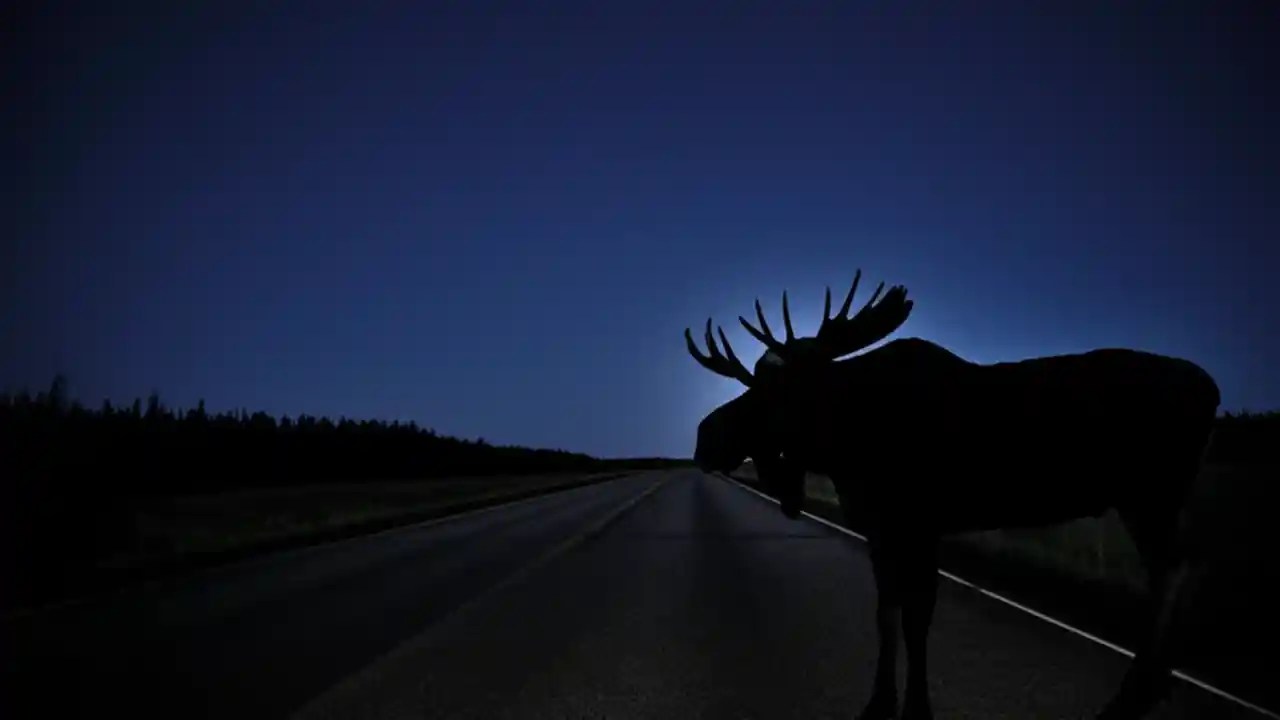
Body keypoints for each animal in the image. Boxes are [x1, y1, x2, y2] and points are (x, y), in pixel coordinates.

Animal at [684, 270, 1220, 720]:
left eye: (775, 391)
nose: (704, 437)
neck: (849, 438)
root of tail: (1210, 389)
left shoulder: (920, 525)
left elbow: (917, 616)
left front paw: (916, 709)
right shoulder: (881, 529)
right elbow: (887, 613)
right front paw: (880, 702)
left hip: (1151, 493)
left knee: (1180, 569)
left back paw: (1136, 693)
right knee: (1172, 572)